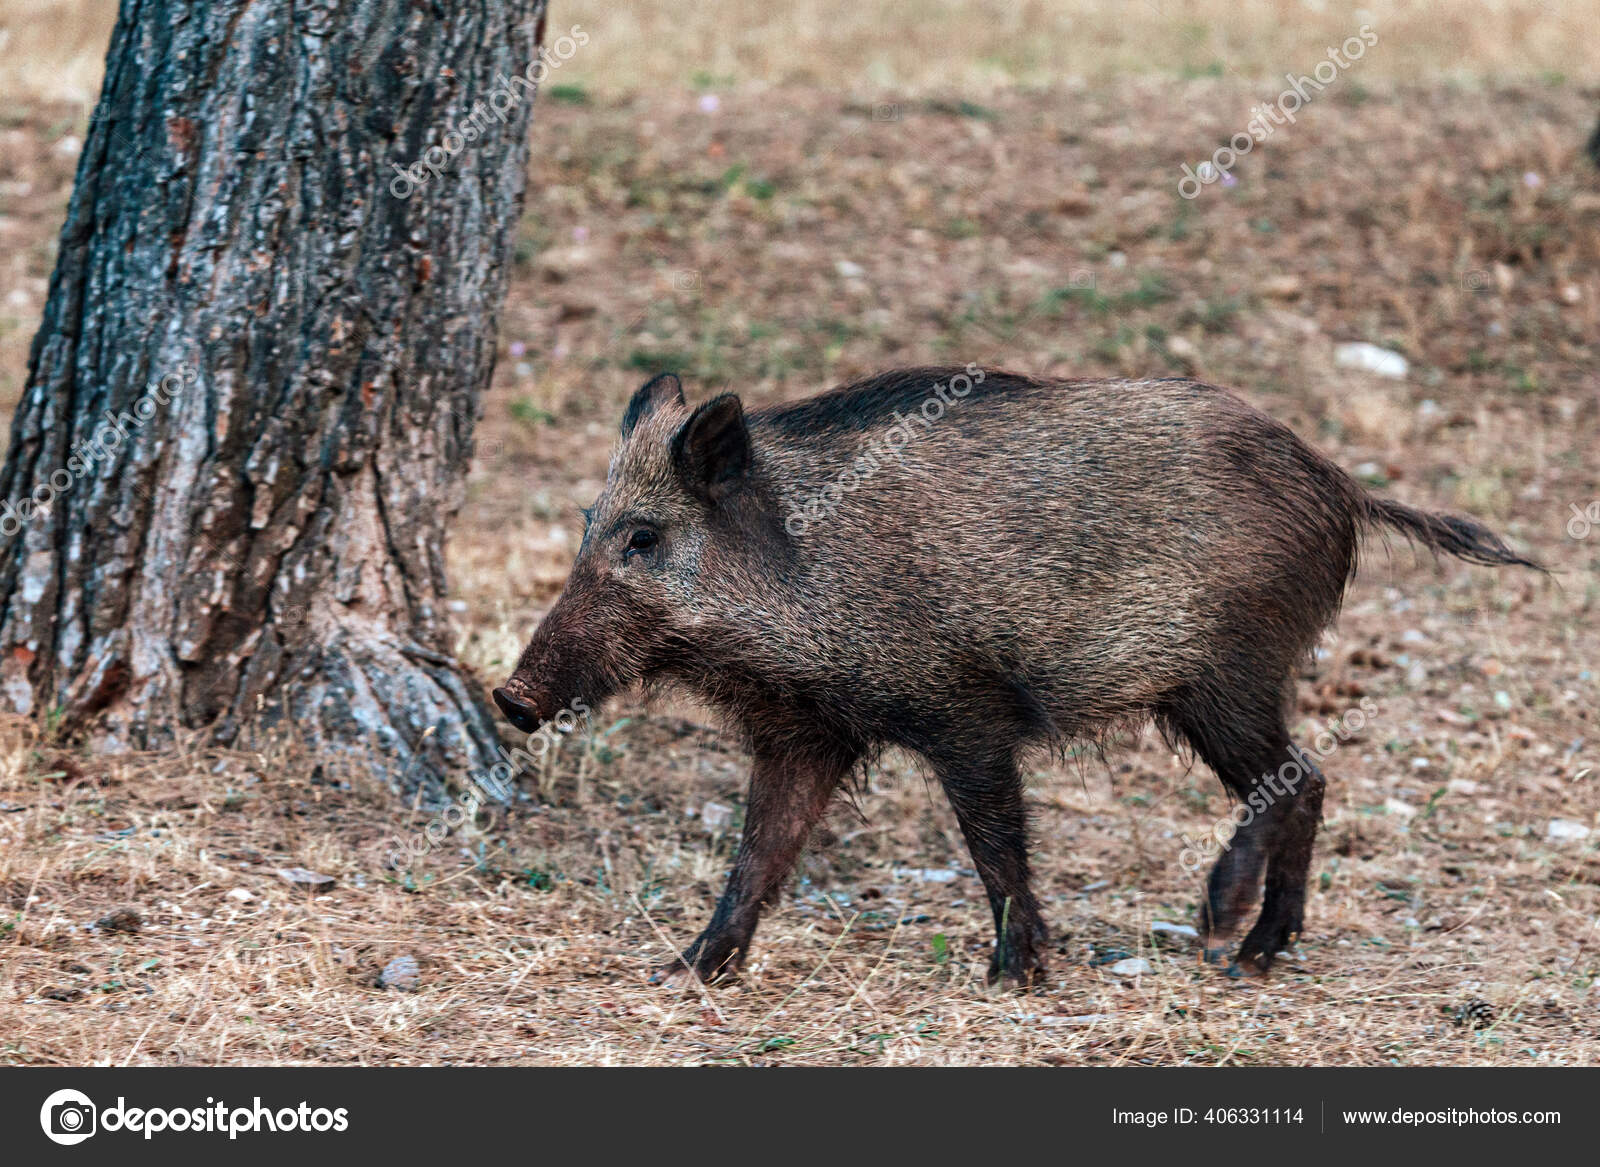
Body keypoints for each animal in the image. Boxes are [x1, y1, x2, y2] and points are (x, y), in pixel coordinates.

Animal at [494, 368, 1538, 985]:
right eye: (586, 524)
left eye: (643, 537)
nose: (511, 696)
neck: (805, 572)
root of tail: (1340, 483)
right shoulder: (806, 733)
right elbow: (761, 852)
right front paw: (687, 969)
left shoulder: (965, 714)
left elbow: (995, 841)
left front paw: (1015, 973)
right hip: (1228, 684)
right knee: (1310, 778)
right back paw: (1256, 952)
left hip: (1225, 675)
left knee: (1295, 778)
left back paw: (1219, 931)